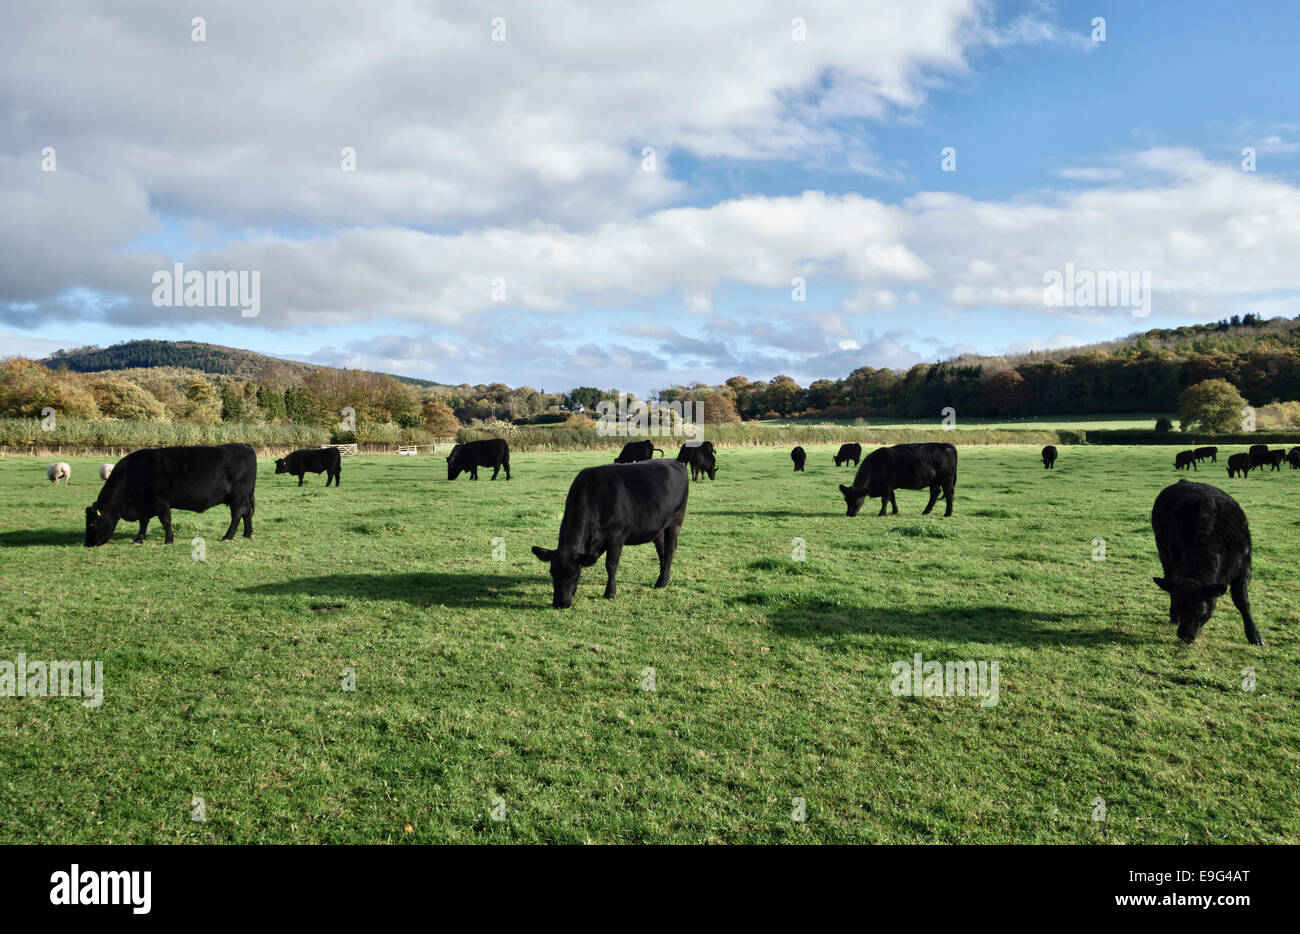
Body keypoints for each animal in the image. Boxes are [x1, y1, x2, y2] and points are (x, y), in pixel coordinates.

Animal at [84, 443, 256, 547]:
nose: (87, 544)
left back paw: (228, 536)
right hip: (244, 496)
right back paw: (248, 534)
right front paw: (138, 539)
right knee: (247, 513)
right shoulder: (144, 505)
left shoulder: (160, 502)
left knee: (237, 514)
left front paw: (169, 539)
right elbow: (143, 522)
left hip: (238, 495)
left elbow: (165, 521)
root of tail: (245, 446)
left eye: (91, 524)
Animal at [532, 460, 689, 609]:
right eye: (552, 573)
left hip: (676, 521)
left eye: (574, 574)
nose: (561, 603)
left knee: (670, 550)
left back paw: (661, 582)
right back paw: (664, 577)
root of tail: (676, 462)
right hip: (659, 528)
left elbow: (611, 565)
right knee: (661, 551)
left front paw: (610, 592)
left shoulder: (617, 536)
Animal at [1151, 480, 1262, 645]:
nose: (1185, 635)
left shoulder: (1244, 567)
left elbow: (1243, 601)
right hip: (1164, 554)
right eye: (1178, 606)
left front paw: (1254, 635)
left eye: (1200, 610)